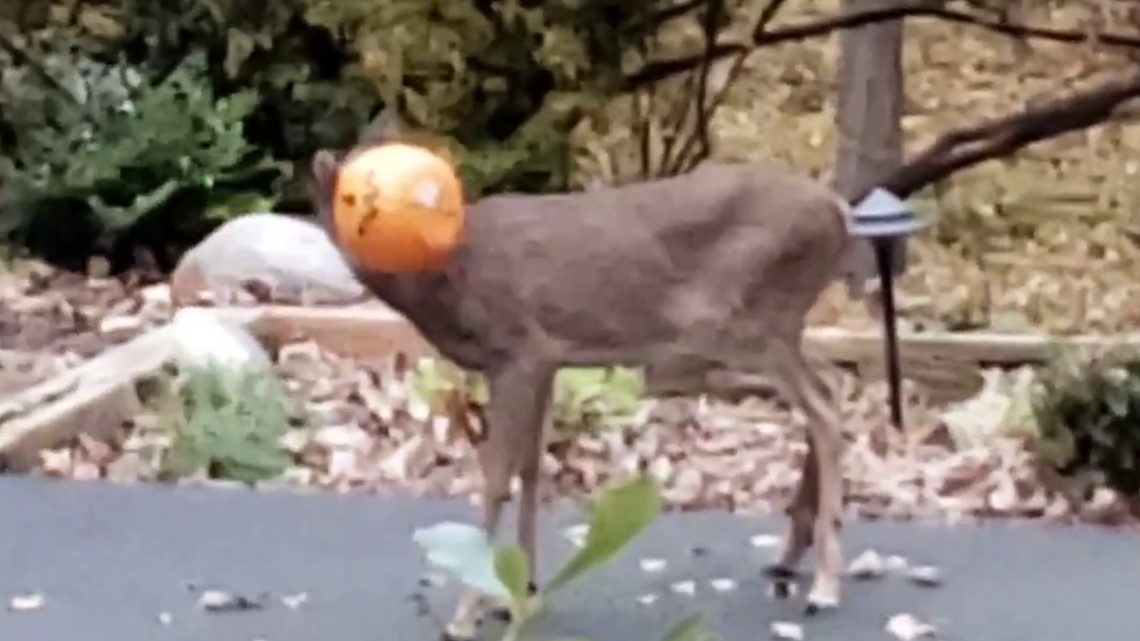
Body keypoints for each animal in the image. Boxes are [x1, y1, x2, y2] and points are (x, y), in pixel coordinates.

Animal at [307, 120, 872, 639]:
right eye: (349, 193)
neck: (447, 281)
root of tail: (839, 212)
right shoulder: (544, 361)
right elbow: (532, 471)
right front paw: (522, 589)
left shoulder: (518, 349)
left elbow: (497, 479)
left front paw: (468, 611)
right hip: (765, 329)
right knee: (832, 383)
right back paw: (793, 555)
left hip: (738, 323)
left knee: (822, 403)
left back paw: (826, 584)